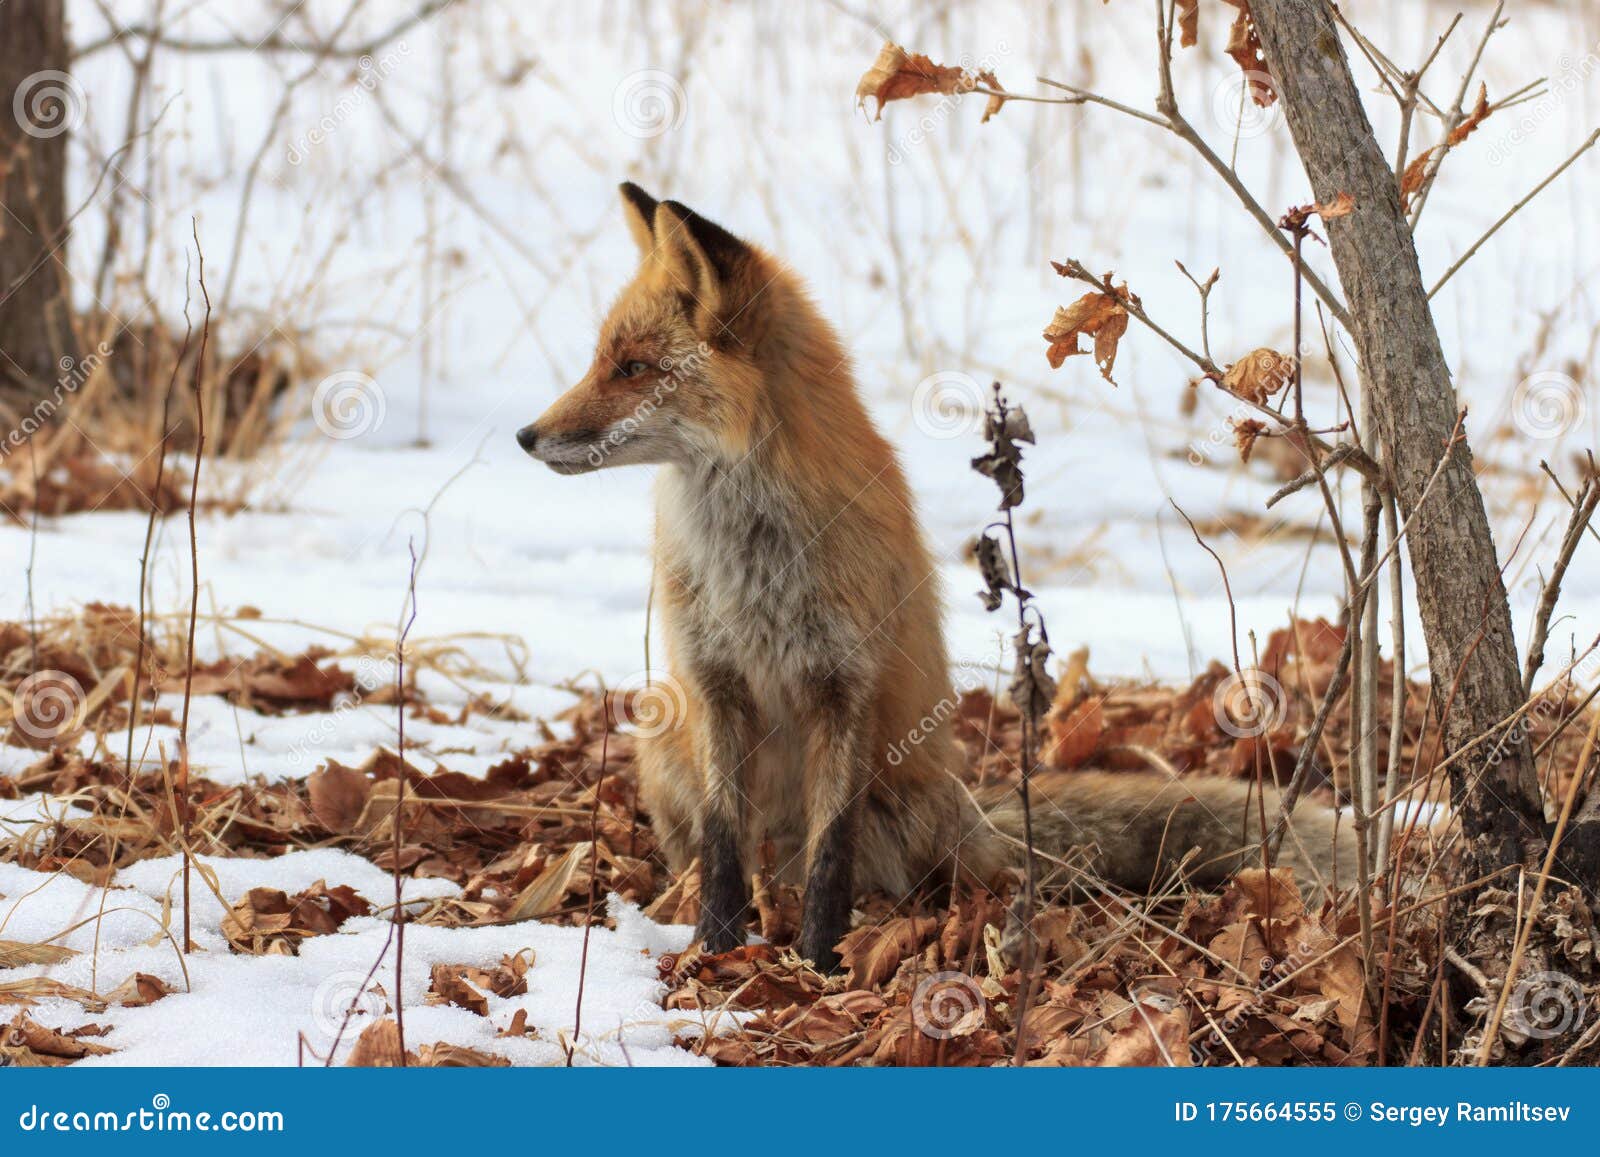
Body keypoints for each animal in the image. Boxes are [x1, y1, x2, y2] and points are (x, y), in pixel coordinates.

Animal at [517, 183, 1354, 970]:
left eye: (634, 369)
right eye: (602, 360)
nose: (526, 435)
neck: (752, 559)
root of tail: (968, 809)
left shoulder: (844, 682)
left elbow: (830, 855)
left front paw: (819, 961)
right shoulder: (715, 681)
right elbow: (724, 845)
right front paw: (715, 951)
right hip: (664, 737)